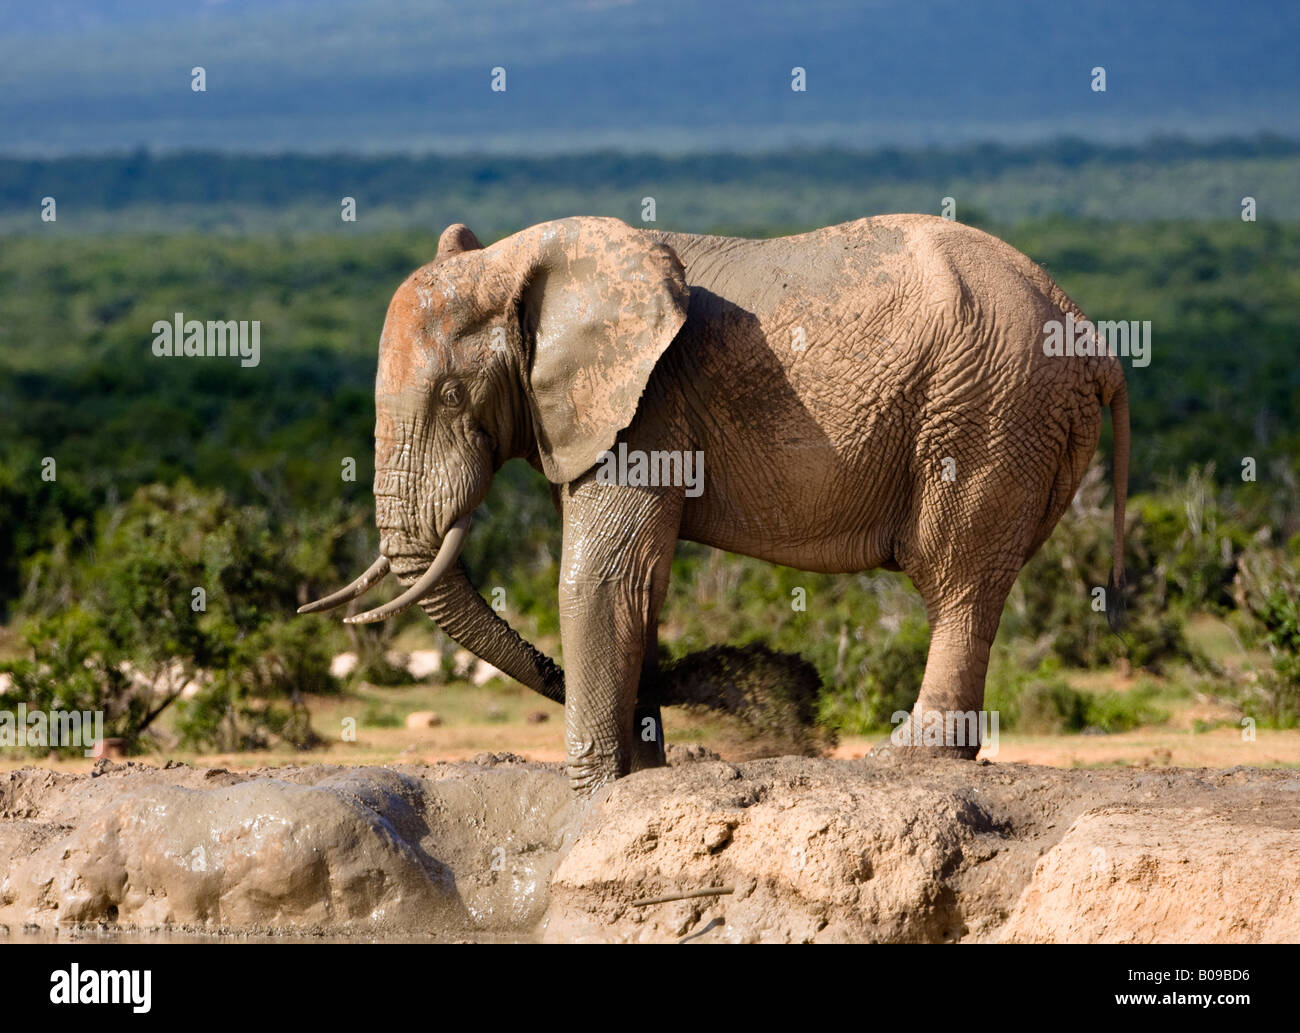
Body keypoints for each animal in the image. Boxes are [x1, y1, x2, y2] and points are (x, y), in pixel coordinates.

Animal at [300, 215, 1129, 795]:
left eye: (450, 397)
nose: (785, 689)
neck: (522, 259)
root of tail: (1094, 337)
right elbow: (638, 583)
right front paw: (642, 774)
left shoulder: (647, 404)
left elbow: (598, 577)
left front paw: (597, 791)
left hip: (990, 413)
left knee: (957, 581)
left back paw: (904, 760)